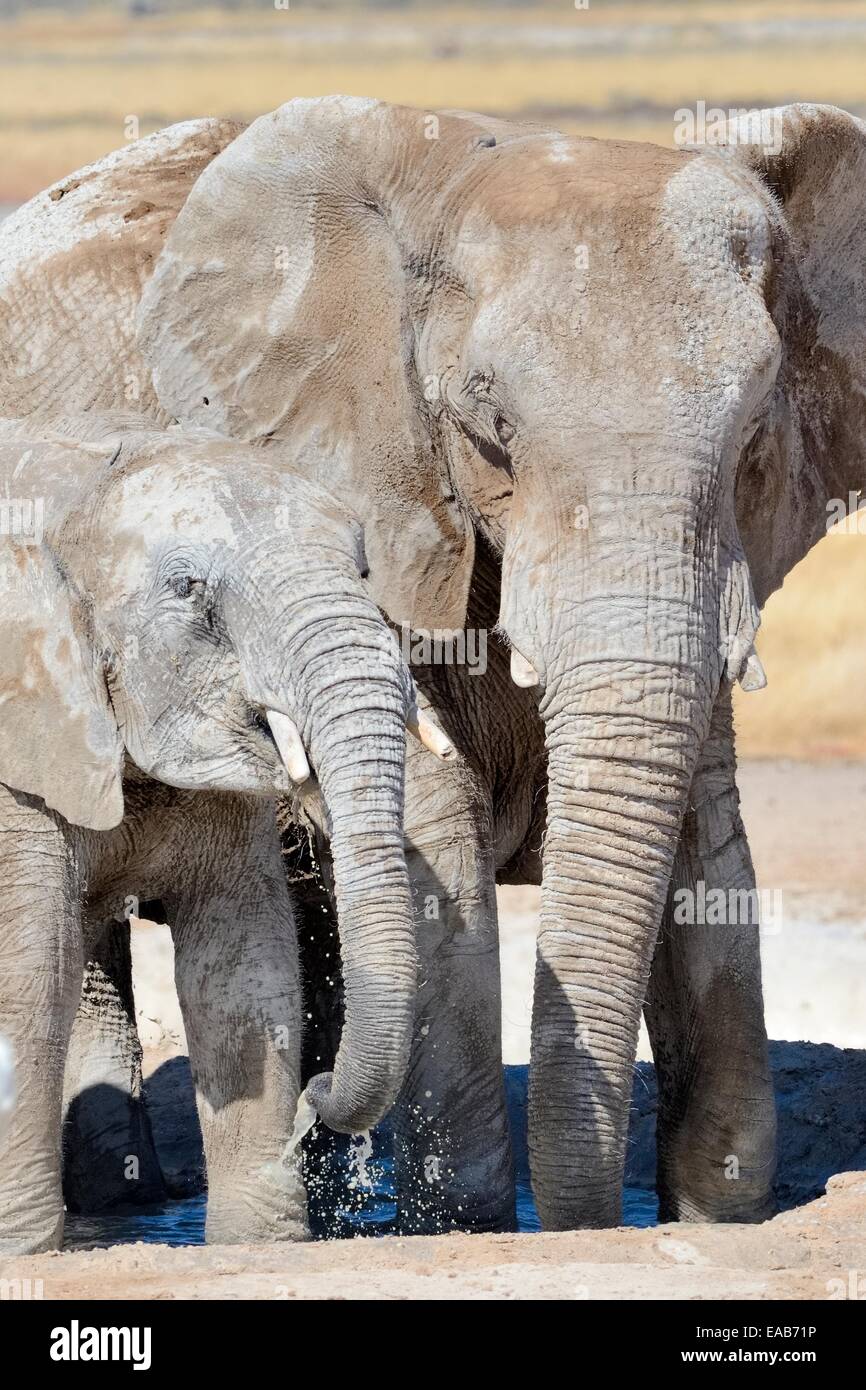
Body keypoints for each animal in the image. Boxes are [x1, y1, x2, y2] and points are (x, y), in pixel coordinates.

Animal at [0, 416, 451, 1254]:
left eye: (364, 567)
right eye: (189, 589)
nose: (319, 1090)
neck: (81, 483)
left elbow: (243, 970)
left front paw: (264, 1244)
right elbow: (26, 977)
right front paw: (24, 1248)